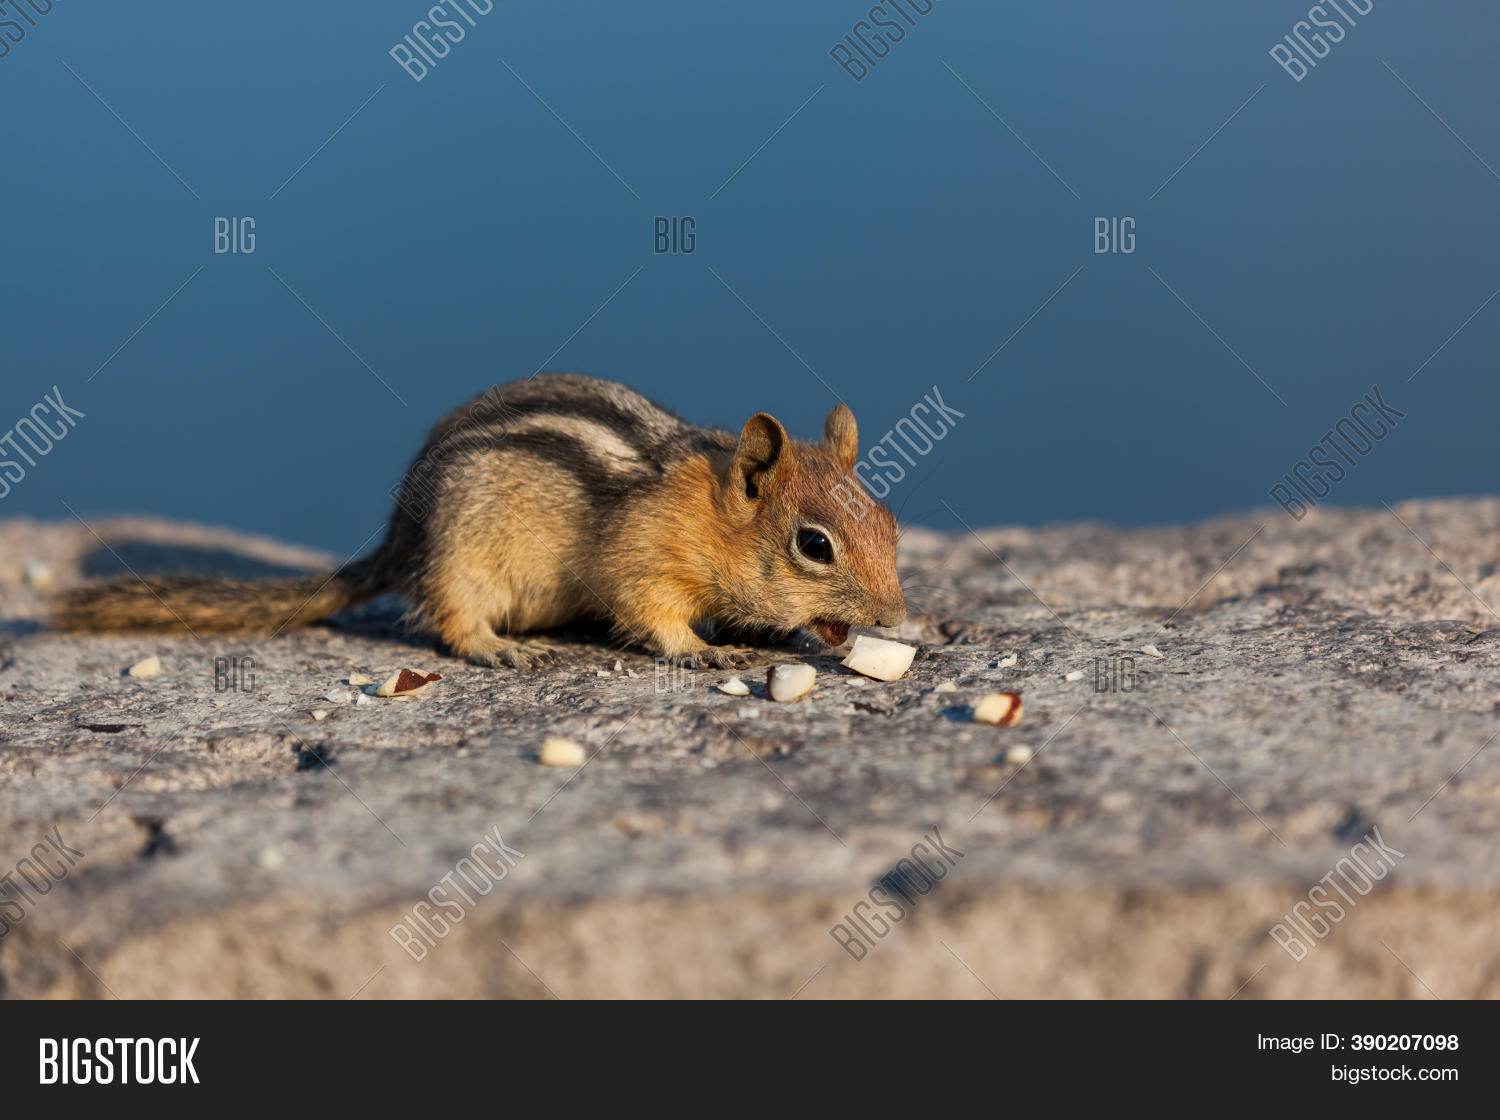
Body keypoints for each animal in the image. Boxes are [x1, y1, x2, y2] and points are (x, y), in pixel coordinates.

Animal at [51, 374, 908, 669]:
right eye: (815, 545)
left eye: (892, 525)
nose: (898, 616)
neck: (708, 512)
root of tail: (397, 540)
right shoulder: (642, 563)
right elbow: (652, 616)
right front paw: (703, 652)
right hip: (460, 561)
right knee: (450, 617)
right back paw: (500, 649)